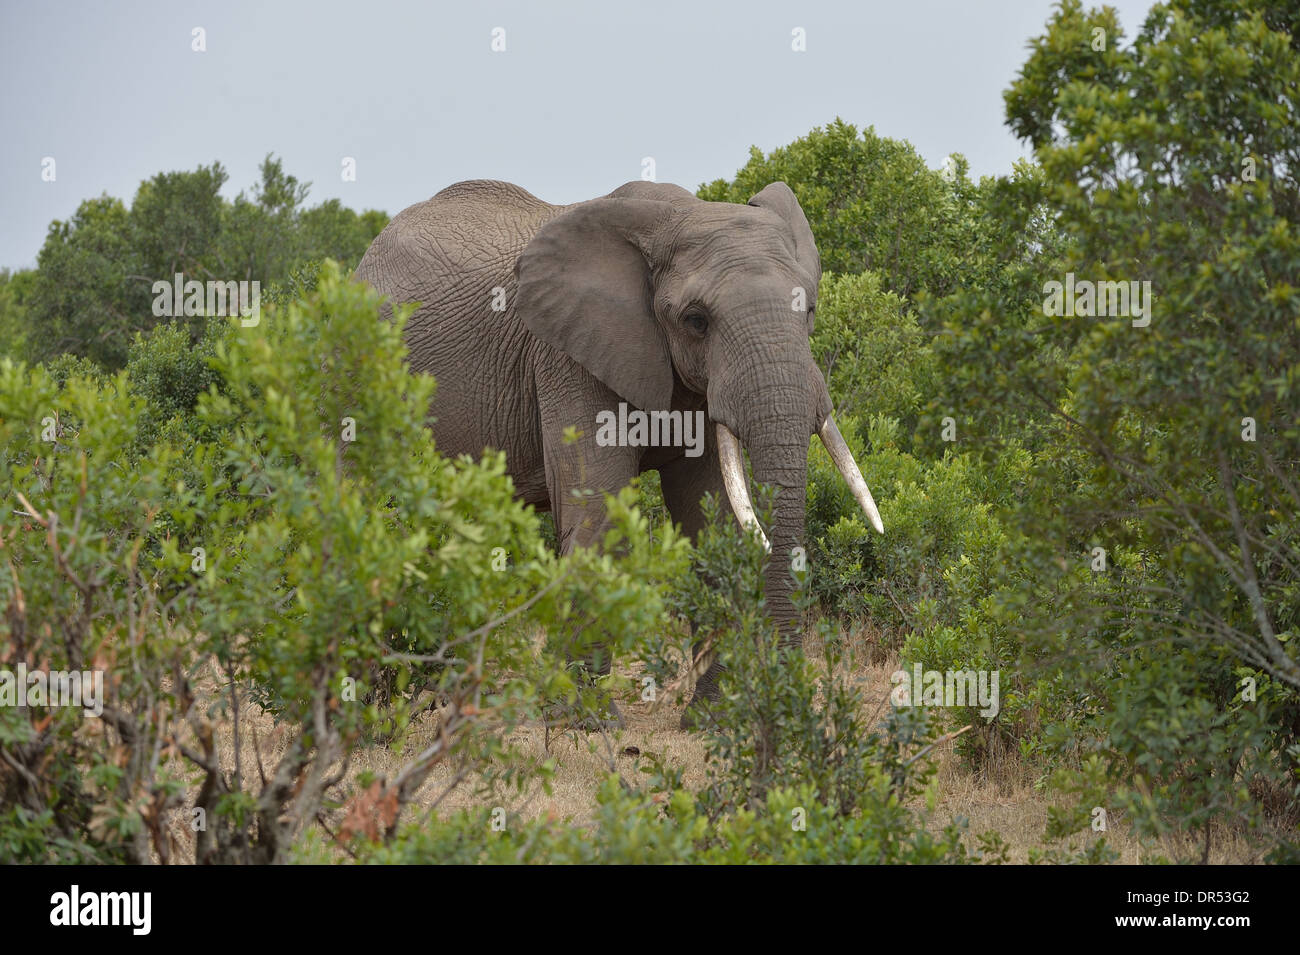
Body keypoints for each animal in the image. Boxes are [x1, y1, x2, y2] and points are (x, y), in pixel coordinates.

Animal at [354, 178, 882, 723]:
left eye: (810, 309)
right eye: (696, 320)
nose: (791, 704)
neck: (678, 215)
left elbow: (710, 521)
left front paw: (712, 717)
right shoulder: (567, 355)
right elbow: (600, 515)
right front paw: (584, 720)